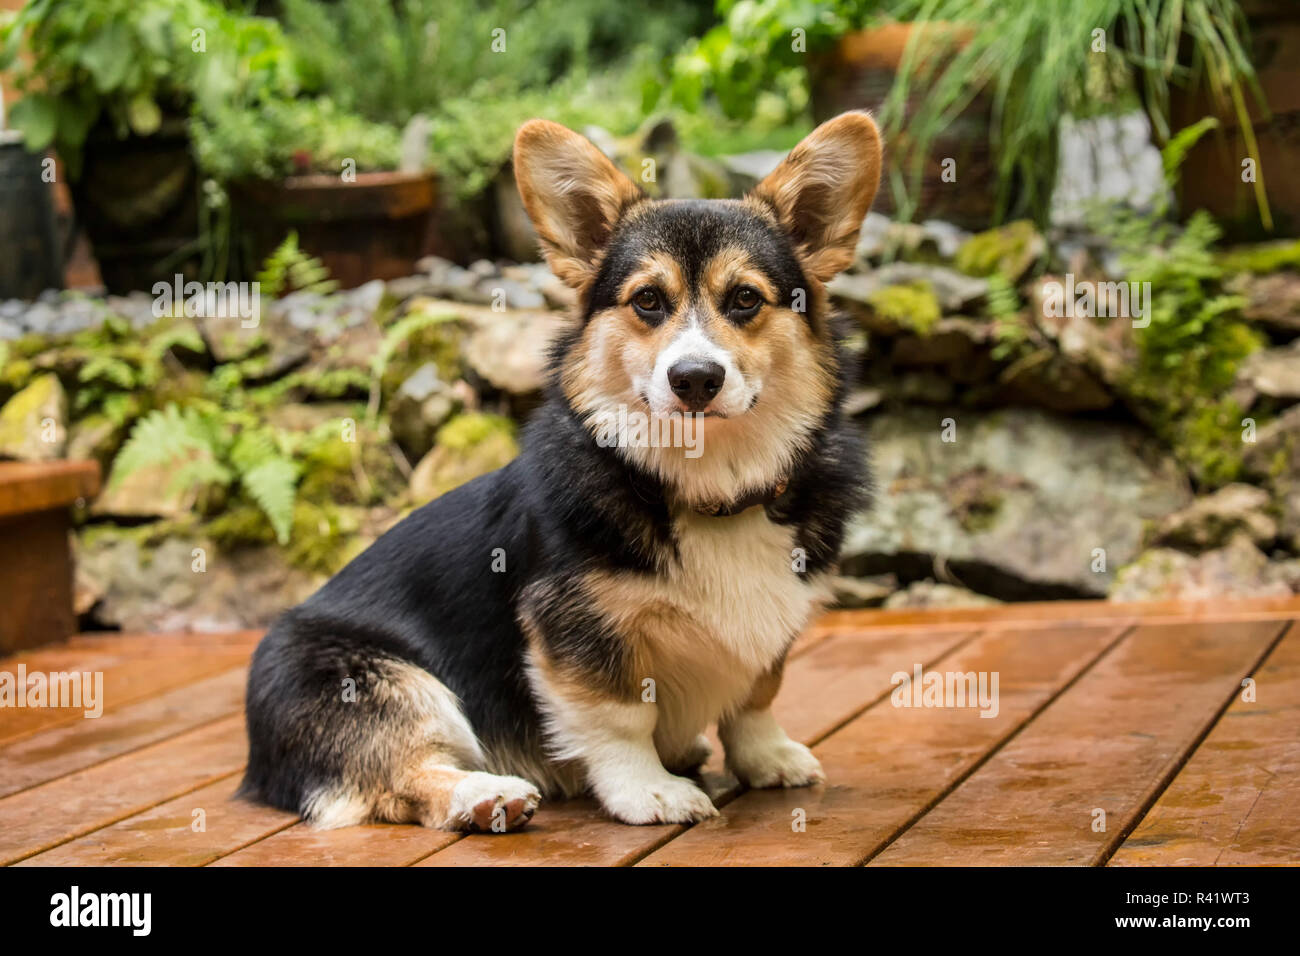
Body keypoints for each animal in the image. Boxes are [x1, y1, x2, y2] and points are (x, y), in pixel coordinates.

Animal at [237, 110, 878, 832]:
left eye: (745, 299)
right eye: (648, 301)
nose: (694, 379)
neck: (707, 486)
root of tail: (255, 764)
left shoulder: (773, 631)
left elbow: (756, 695)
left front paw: (768, 757)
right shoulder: (578, 629)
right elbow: (621, 717)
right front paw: (648, 791)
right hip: (385, 681)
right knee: (400, 776)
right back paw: (484, 795)